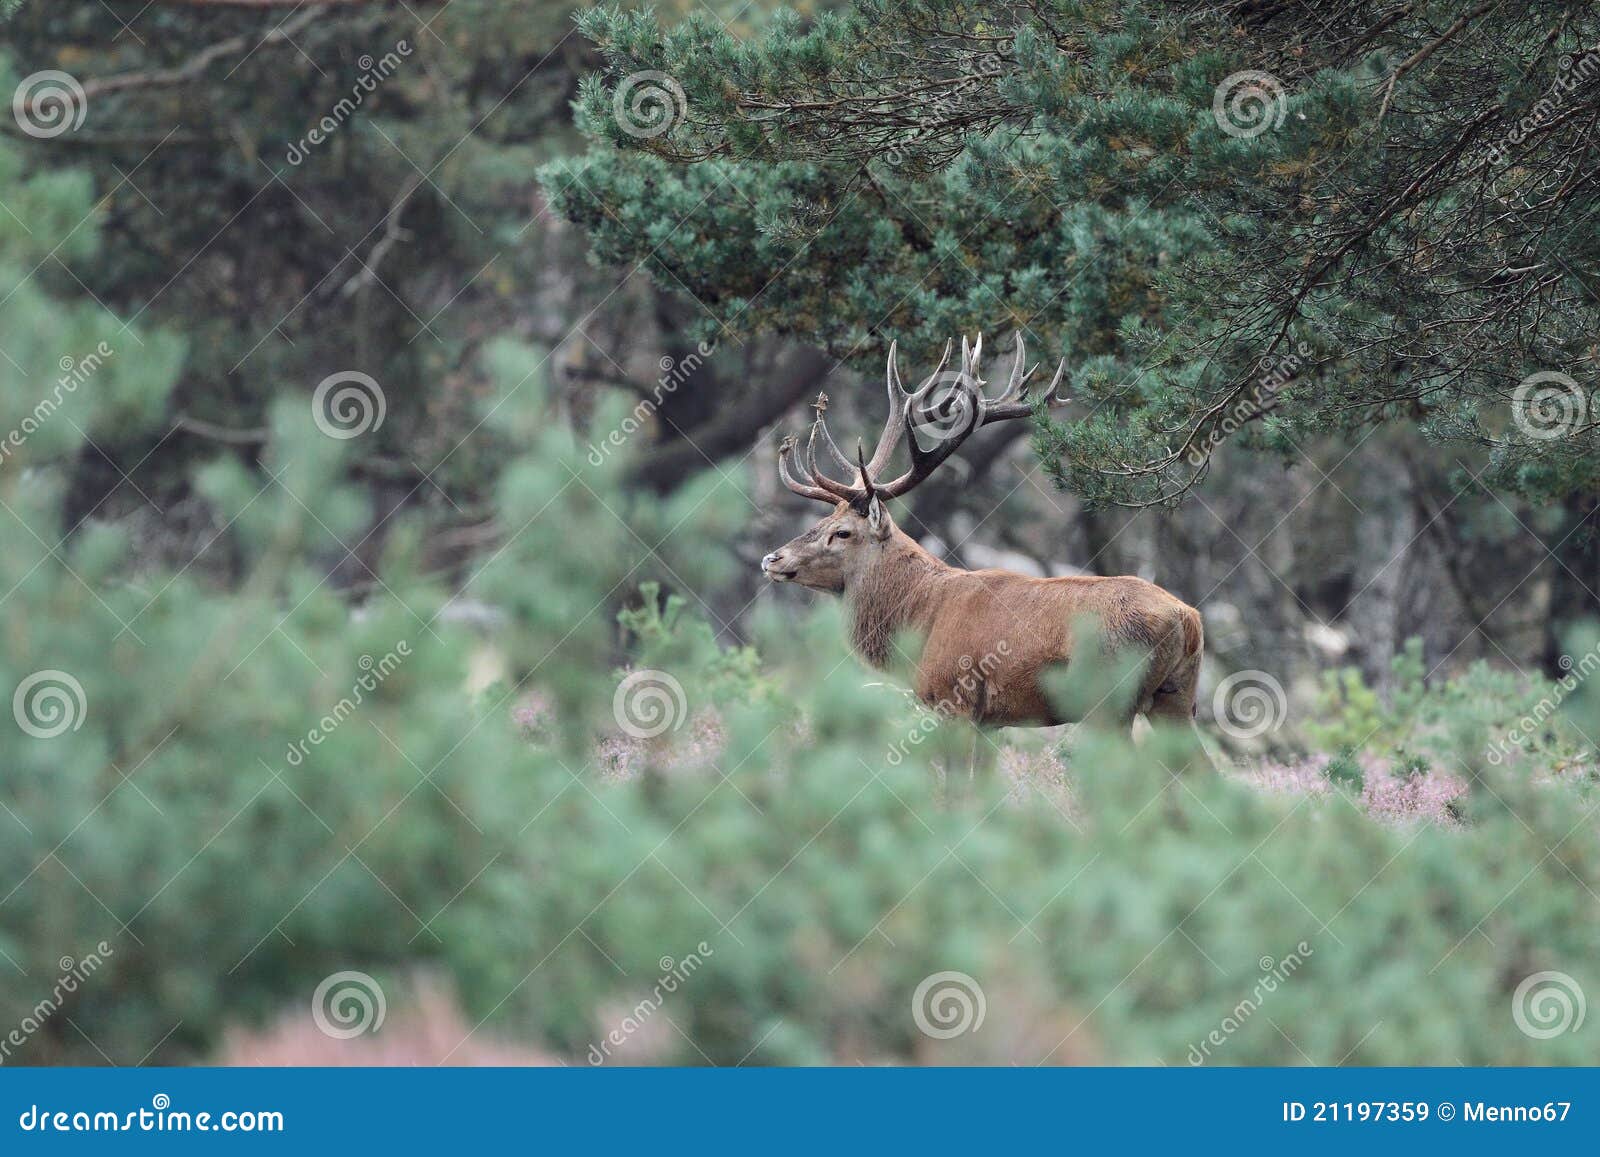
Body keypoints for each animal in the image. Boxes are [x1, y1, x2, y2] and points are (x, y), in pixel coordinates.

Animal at [760, 333, 1210, 767]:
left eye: (842, 532)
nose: (772, 558)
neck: (921, 619)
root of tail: (1187, 619)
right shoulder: (991, 722)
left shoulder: (954, 702)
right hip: (1178, 698)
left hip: (1108, 700)